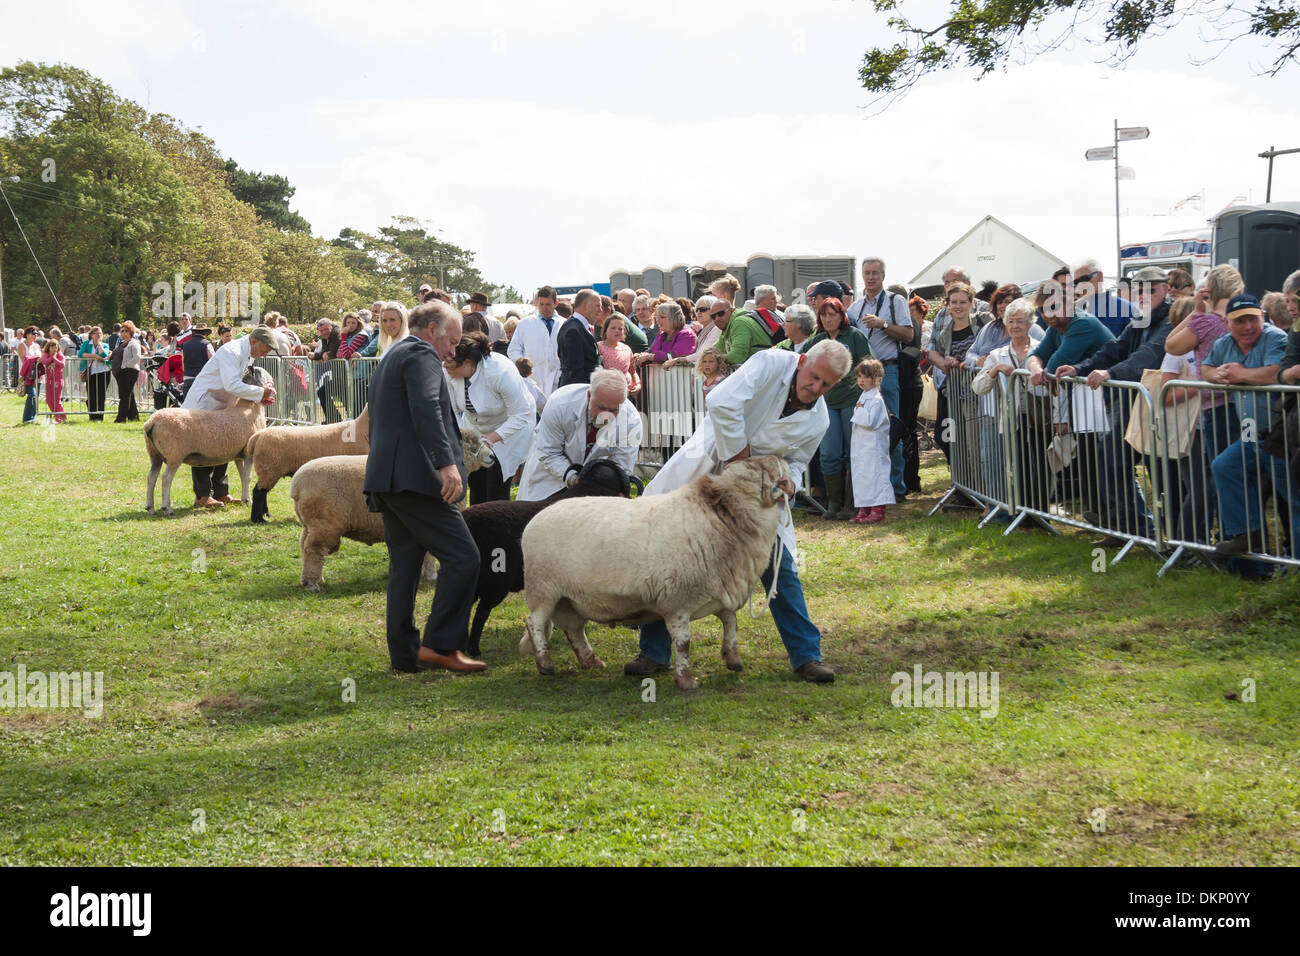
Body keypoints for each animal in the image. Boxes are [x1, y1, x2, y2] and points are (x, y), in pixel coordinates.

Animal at [144, 366, 273, 516]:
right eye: (262, 373)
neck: (249, 407)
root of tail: (151, 422)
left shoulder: (238, 454)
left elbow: (242, 476)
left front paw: (245, 499)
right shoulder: (248, 452)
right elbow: (248, 477)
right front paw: (249, 501)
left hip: (154, 454)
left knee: (151, 477)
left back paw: (150, 508)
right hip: (174, 455)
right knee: (165, 478)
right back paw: (167, 508)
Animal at [289, 427, 490, 591]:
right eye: (469, 443)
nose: (491, 456)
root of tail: (296, 485)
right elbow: (429, 553)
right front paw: (432, 576)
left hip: (309, 524)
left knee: (304, 547)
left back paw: (313, 579)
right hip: (324, 524)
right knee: (313, 549)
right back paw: (312, 584)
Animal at [518, 455, 789, 689]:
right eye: (765, 471)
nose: (782, 458)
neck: (725, 523)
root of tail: (534, 520)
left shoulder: (724, 591)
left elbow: (731, 624)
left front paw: (733, 660)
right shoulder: (677, 602)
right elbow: (683, 643)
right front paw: (686, 680)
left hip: (571, 598)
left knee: (574, 630)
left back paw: (591, 661)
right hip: (543, 589)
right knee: (535, 623)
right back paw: (545, 664)